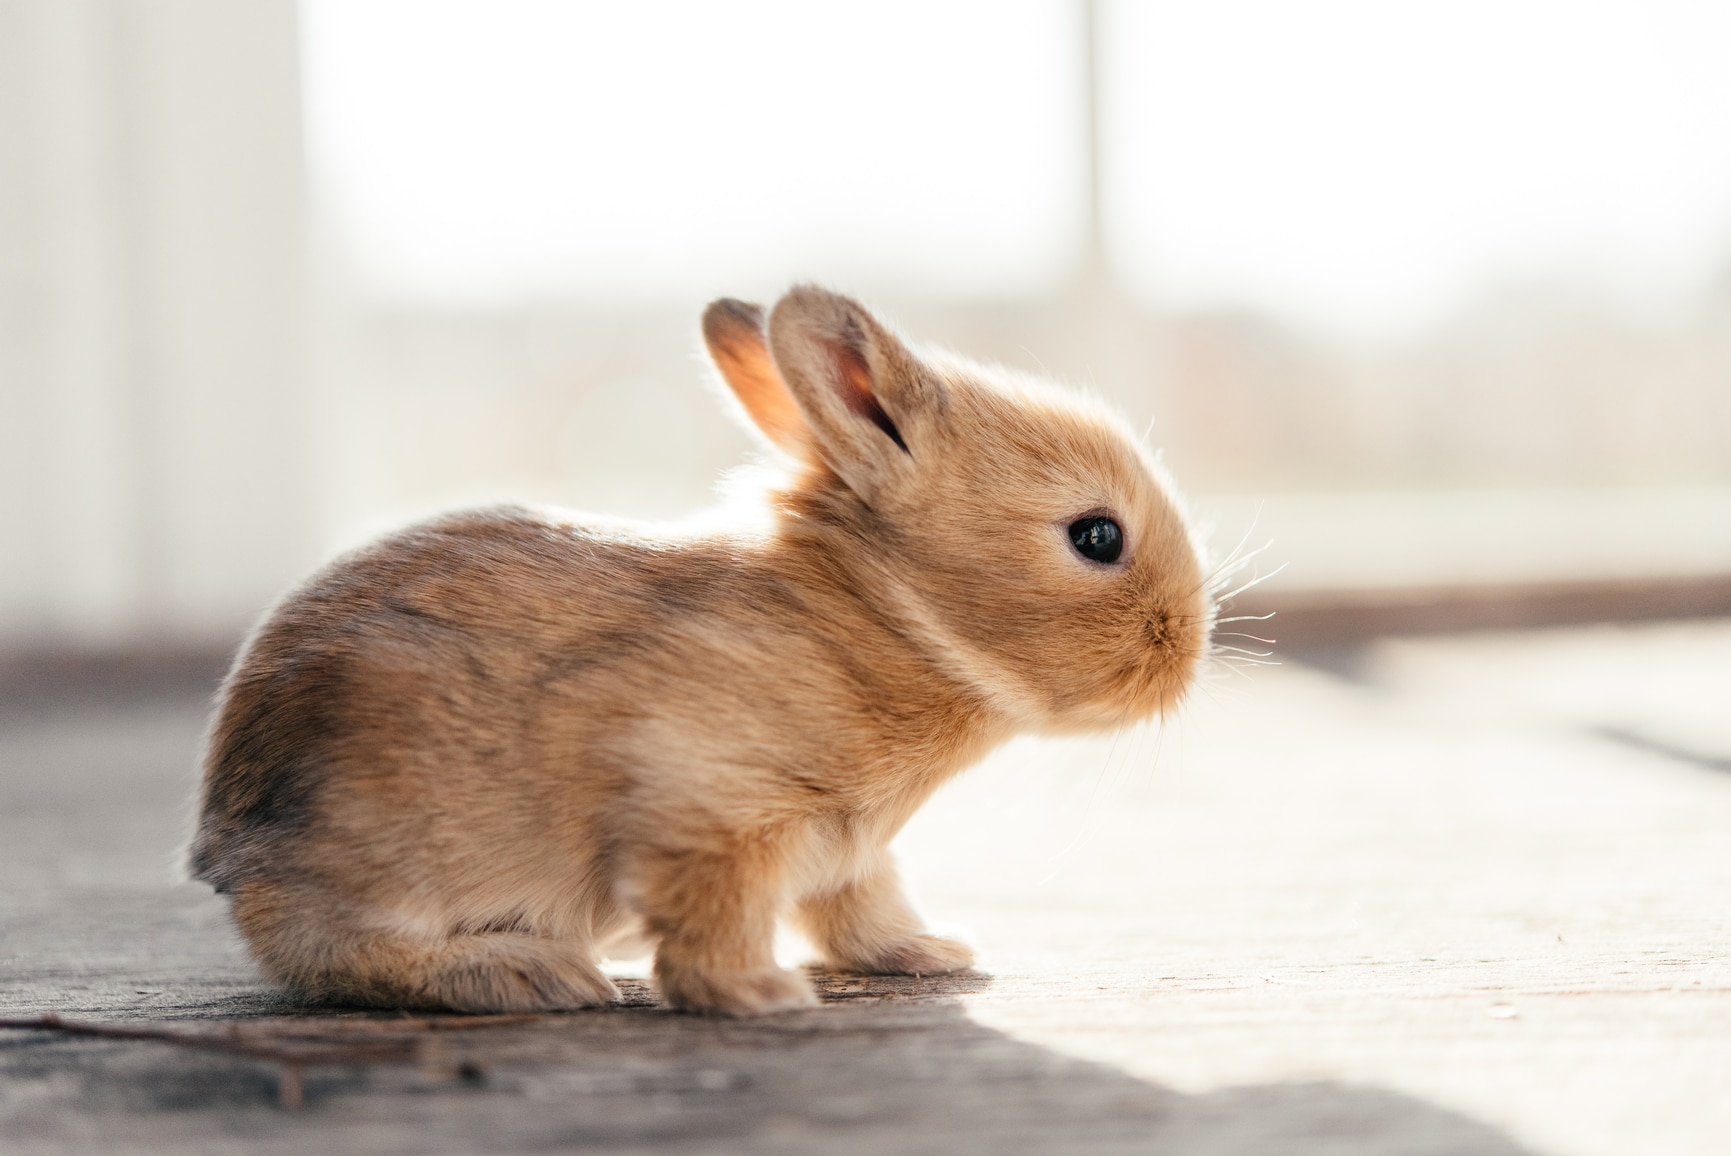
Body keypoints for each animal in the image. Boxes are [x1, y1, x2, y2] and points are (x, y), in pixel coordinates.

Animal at [189, 283, 1211, 1017]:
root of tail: (226, 842)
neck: (883, 619)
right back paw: (532, 976)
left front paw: (932, 956)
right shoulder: (707, 807)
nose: (1186, 650)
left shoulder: (847, 852)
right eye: (1095, 537)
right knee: (338, 954)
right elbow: (715, 926)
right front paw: (762, 998)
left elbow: (862, 908)